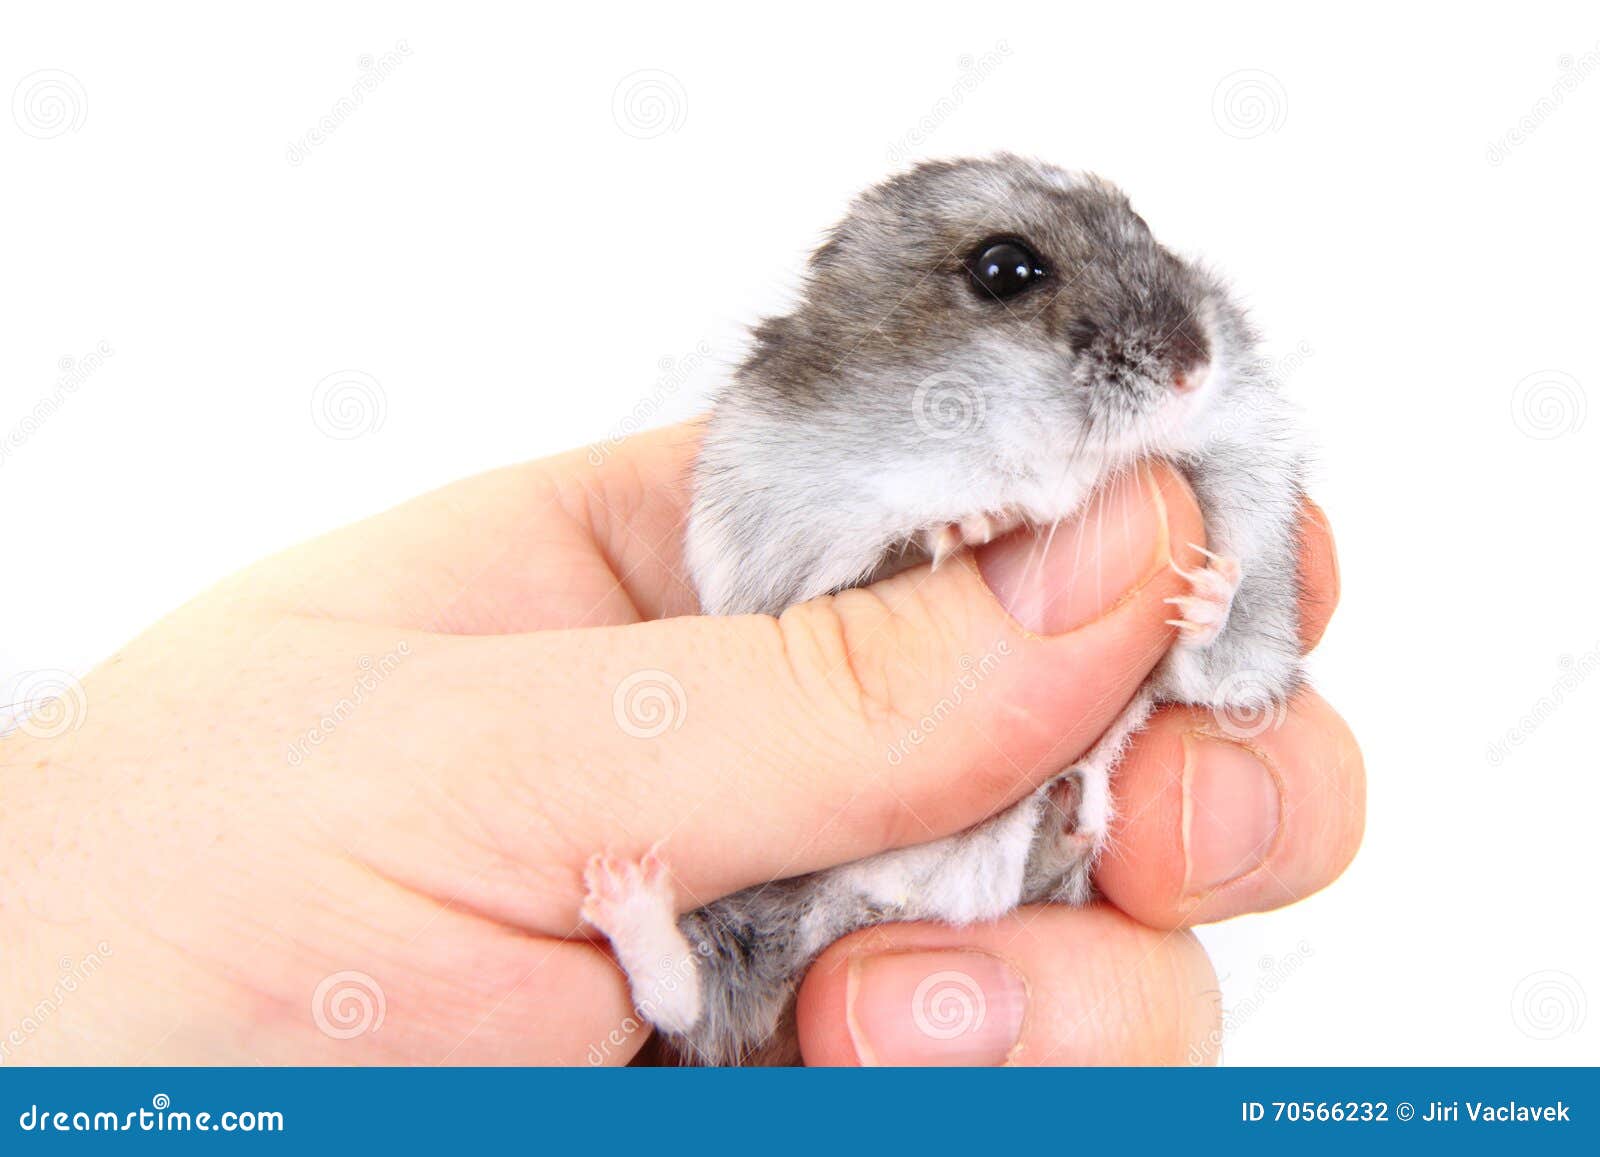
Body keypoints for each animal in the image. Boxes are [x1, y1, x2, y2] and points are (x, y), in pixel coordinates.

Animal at [579, 155, 1307, 1065]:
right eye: (1005, 269)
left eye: (1142, 224)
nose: (1195, 369)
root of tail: (884, 899)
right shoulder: (767, 564)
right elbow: (866, 566)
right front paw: (970, 527)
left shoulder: (1236, 663)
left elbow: (1216, 675)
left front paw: (1207, 584)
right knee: (691, 1000)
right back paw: (621, 893)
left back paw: (1066, 815)